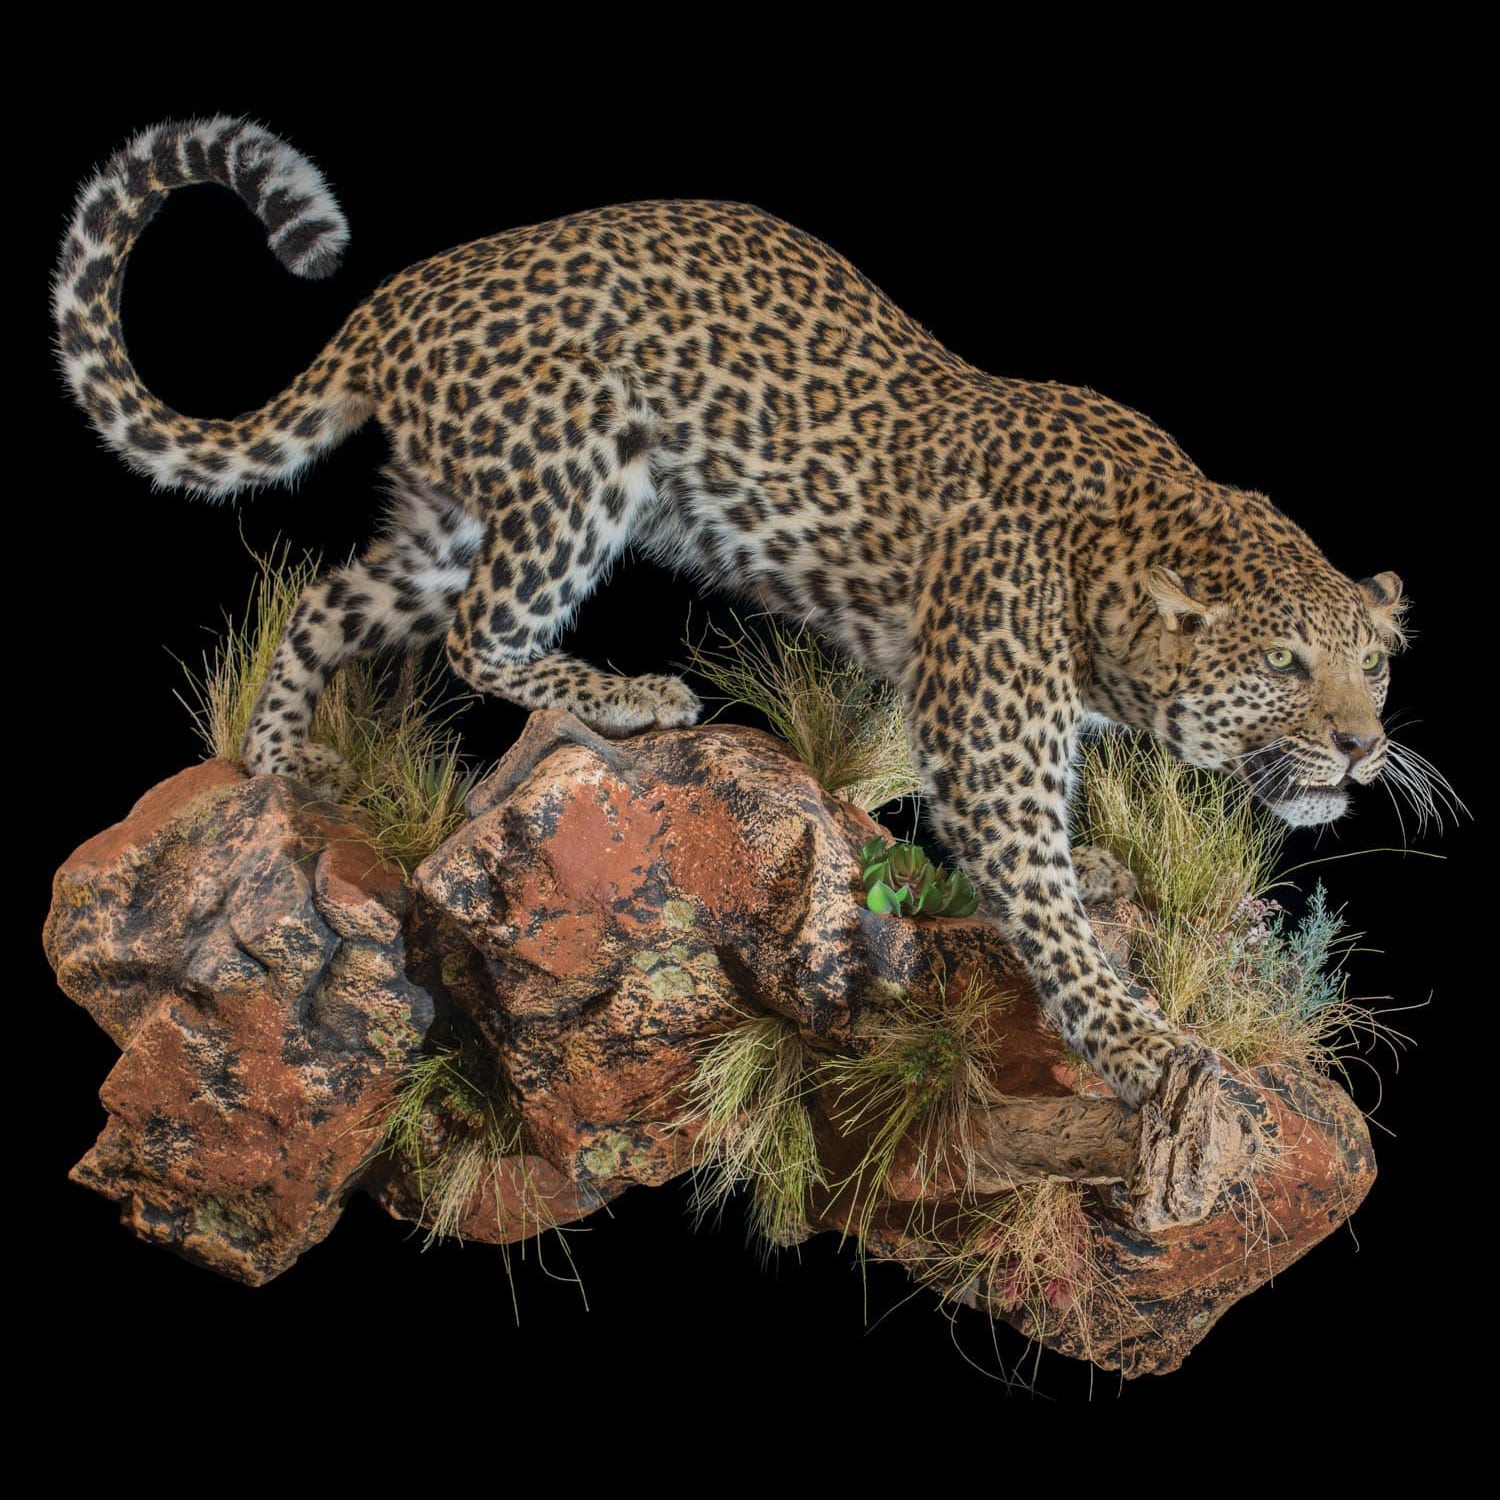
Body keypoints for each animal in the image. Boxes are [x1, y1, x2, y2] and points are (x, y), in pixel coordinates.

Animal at [52, 116, 1413, 1109]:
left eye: (1378, 668)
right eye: (1287, 665)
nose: (1363, 749)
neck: (1119, 571)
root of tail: (396, 299)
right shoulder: (994, 752)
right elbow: (1047, 912)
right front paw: (1141, 1049)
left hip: (445, 519)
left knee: (337, 599)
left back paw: (277, 772)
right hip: (574, 471)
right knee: (483, 633)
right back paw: (631, 697)